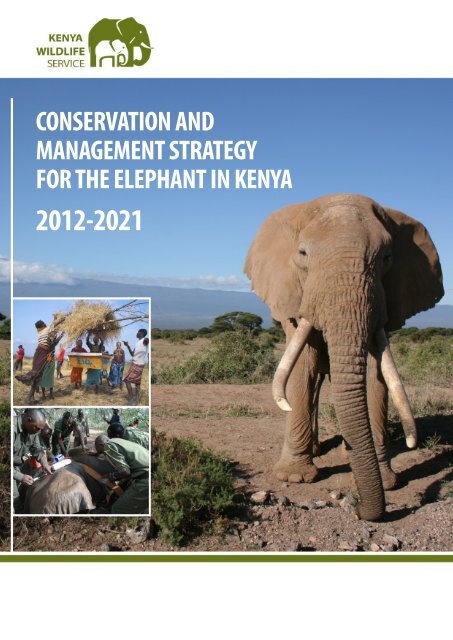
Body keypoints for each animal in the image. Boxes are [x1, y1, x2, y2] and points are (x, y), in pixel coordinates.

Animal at [244, 194, 443, 521]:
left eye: (386, 257)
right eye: (303, 254)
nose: (358, 507)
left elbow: (377, 373)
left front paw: (386, 482)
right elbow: (303, 364)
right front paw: (294, 478)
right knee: (313, 382)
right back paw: (315, 451)